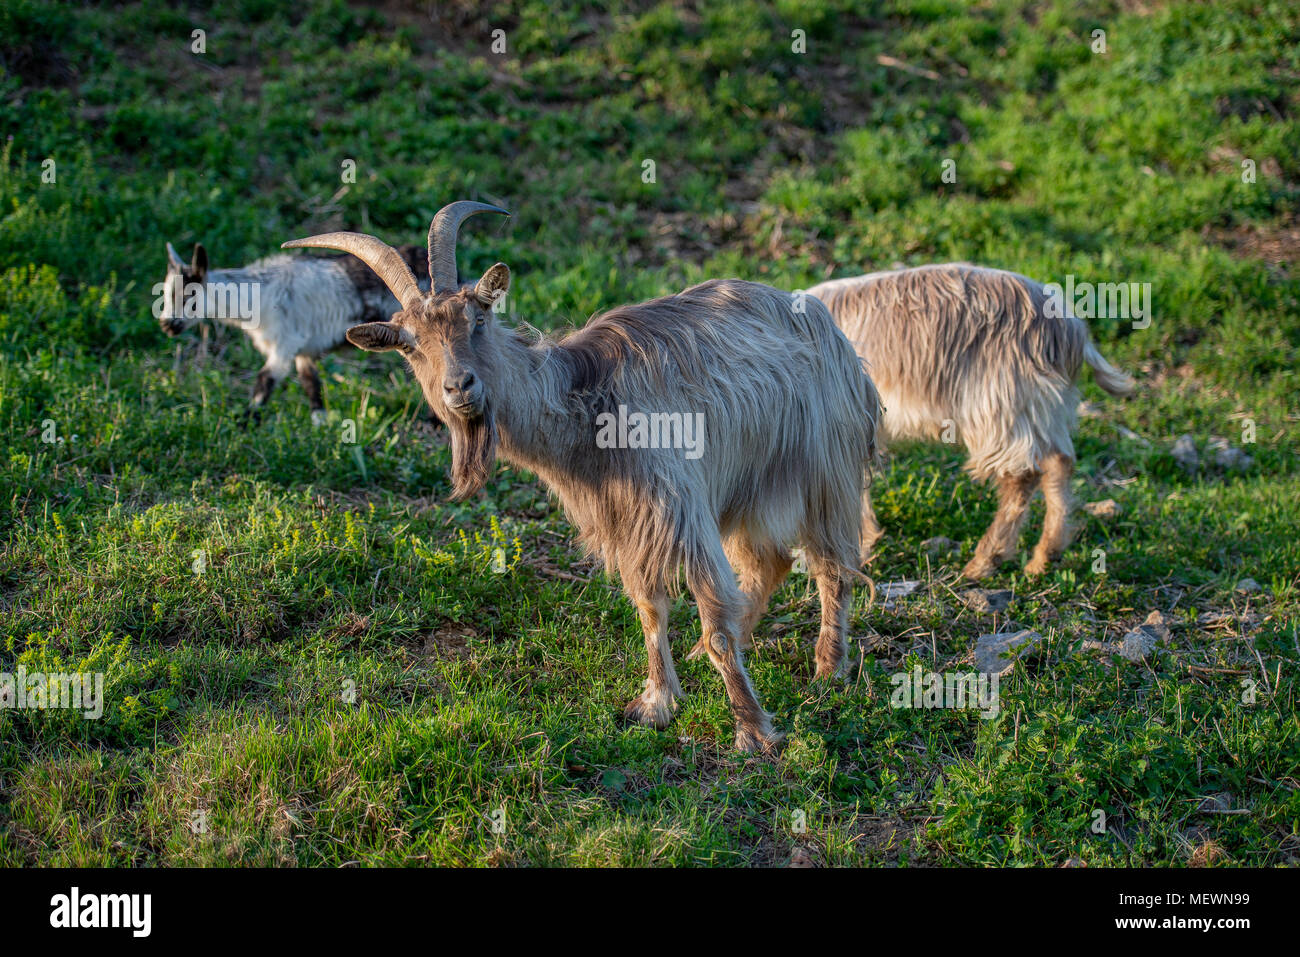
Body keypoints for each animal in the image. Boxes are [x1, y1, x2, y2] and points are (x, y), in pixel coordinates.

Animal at [157, 240, 429, 420]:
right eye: (166, 293)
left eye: (189, 296)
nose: (166, 324)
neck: (263, 295)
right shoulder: (304, 351)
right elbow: (311, 387)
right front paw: (321, 426)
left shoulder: (285, 343)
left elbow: (263, 383)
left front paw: (243, 423)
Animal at [283, 202, 880, 752]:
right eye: (411, 347)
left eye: (477, 319)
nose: (459, 388)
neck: (586, 403)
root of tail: (821, 319)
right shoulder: (625, 520)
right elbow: (650, 609)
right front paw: (656, 704)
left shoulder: (677, 507)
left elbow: (714, 620)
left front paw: (753, 731)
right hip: (747, 482)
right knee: (769, 560)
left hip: (822, 464)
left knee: (832, 566)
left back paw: (828, 671)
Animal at [808, 264, 1135, 580]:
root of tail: (1072, 332)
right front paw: (867, 541)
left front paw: (861, 546)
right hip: (1044, 407)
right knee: (1060, 462)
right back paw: (1045, 557)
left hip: (1001, 401)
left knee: (1022, 475)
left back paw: (985, 561)